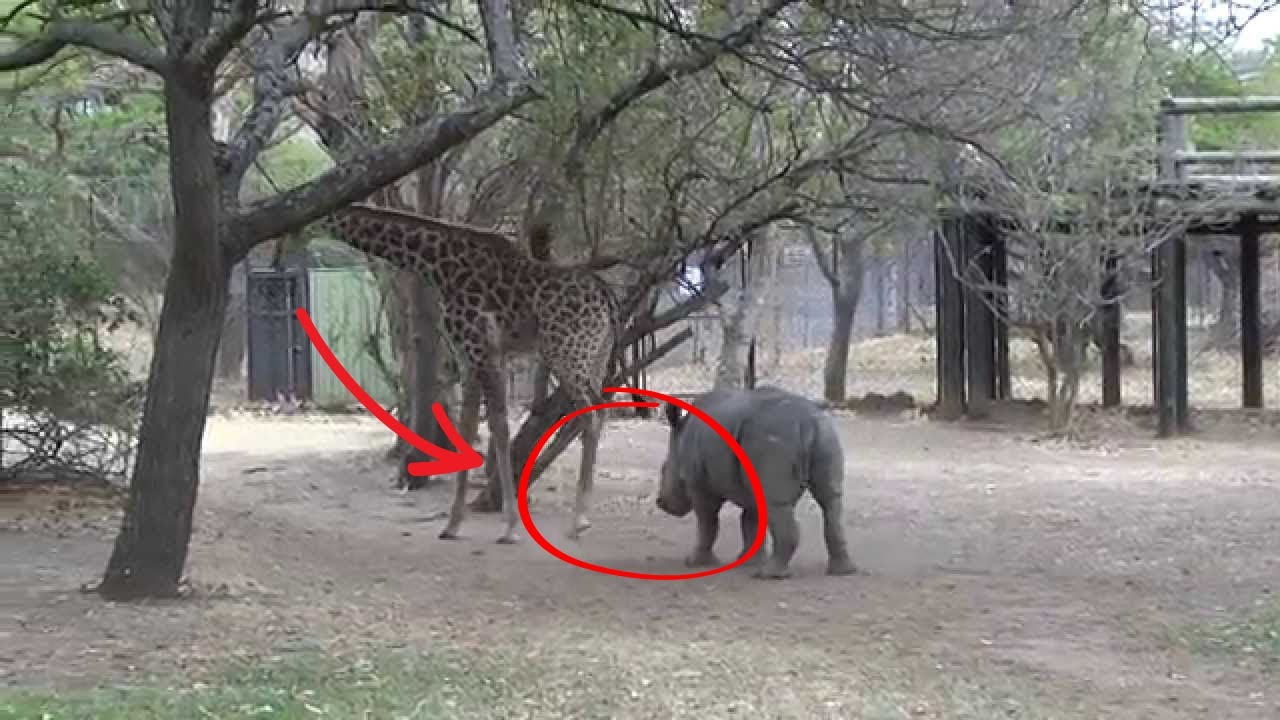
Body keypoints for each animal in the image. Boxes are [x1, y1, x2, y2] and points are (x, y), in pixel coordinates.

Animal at [321, 204, 621, 544]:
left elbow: (498, 428)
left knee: (591, 415)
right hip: (596, 356)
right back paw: (582, 516)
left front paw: (509, 527)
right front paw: (453, 524)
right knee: (599, 412)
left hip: (568, 353)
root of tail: (608, 298)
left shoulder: (478, 349)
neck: (437, 265)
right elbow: (469, 427)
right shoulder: (473, 355)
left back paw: (578, 520)